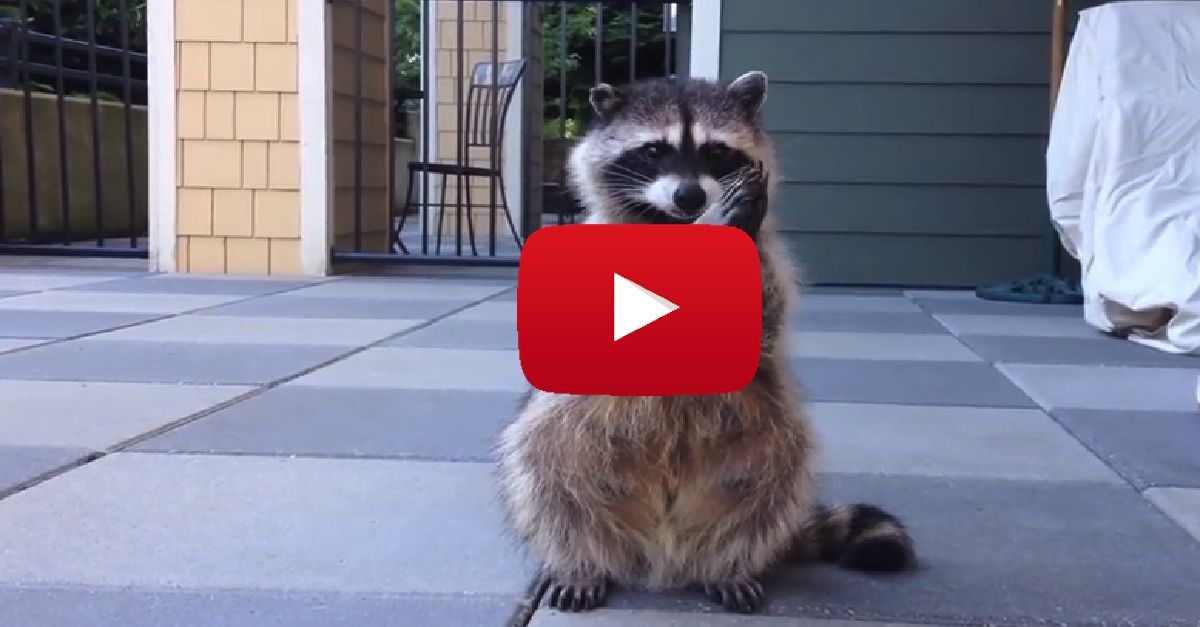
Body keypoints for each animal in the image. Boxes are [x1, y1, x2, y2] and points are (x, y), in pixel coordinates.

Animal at [494, 71, 917, 615]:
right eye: (654, 150)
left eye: (716, 151)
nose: (691, 198)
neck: (677, 232)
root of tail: (662, 551)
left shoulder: (767, 258)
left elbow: (763, 318)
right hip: (567, 426)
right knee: (543, 468)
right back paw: (578, 561)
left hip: (762, 440)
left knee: (776, 481)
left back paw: (728, 562)